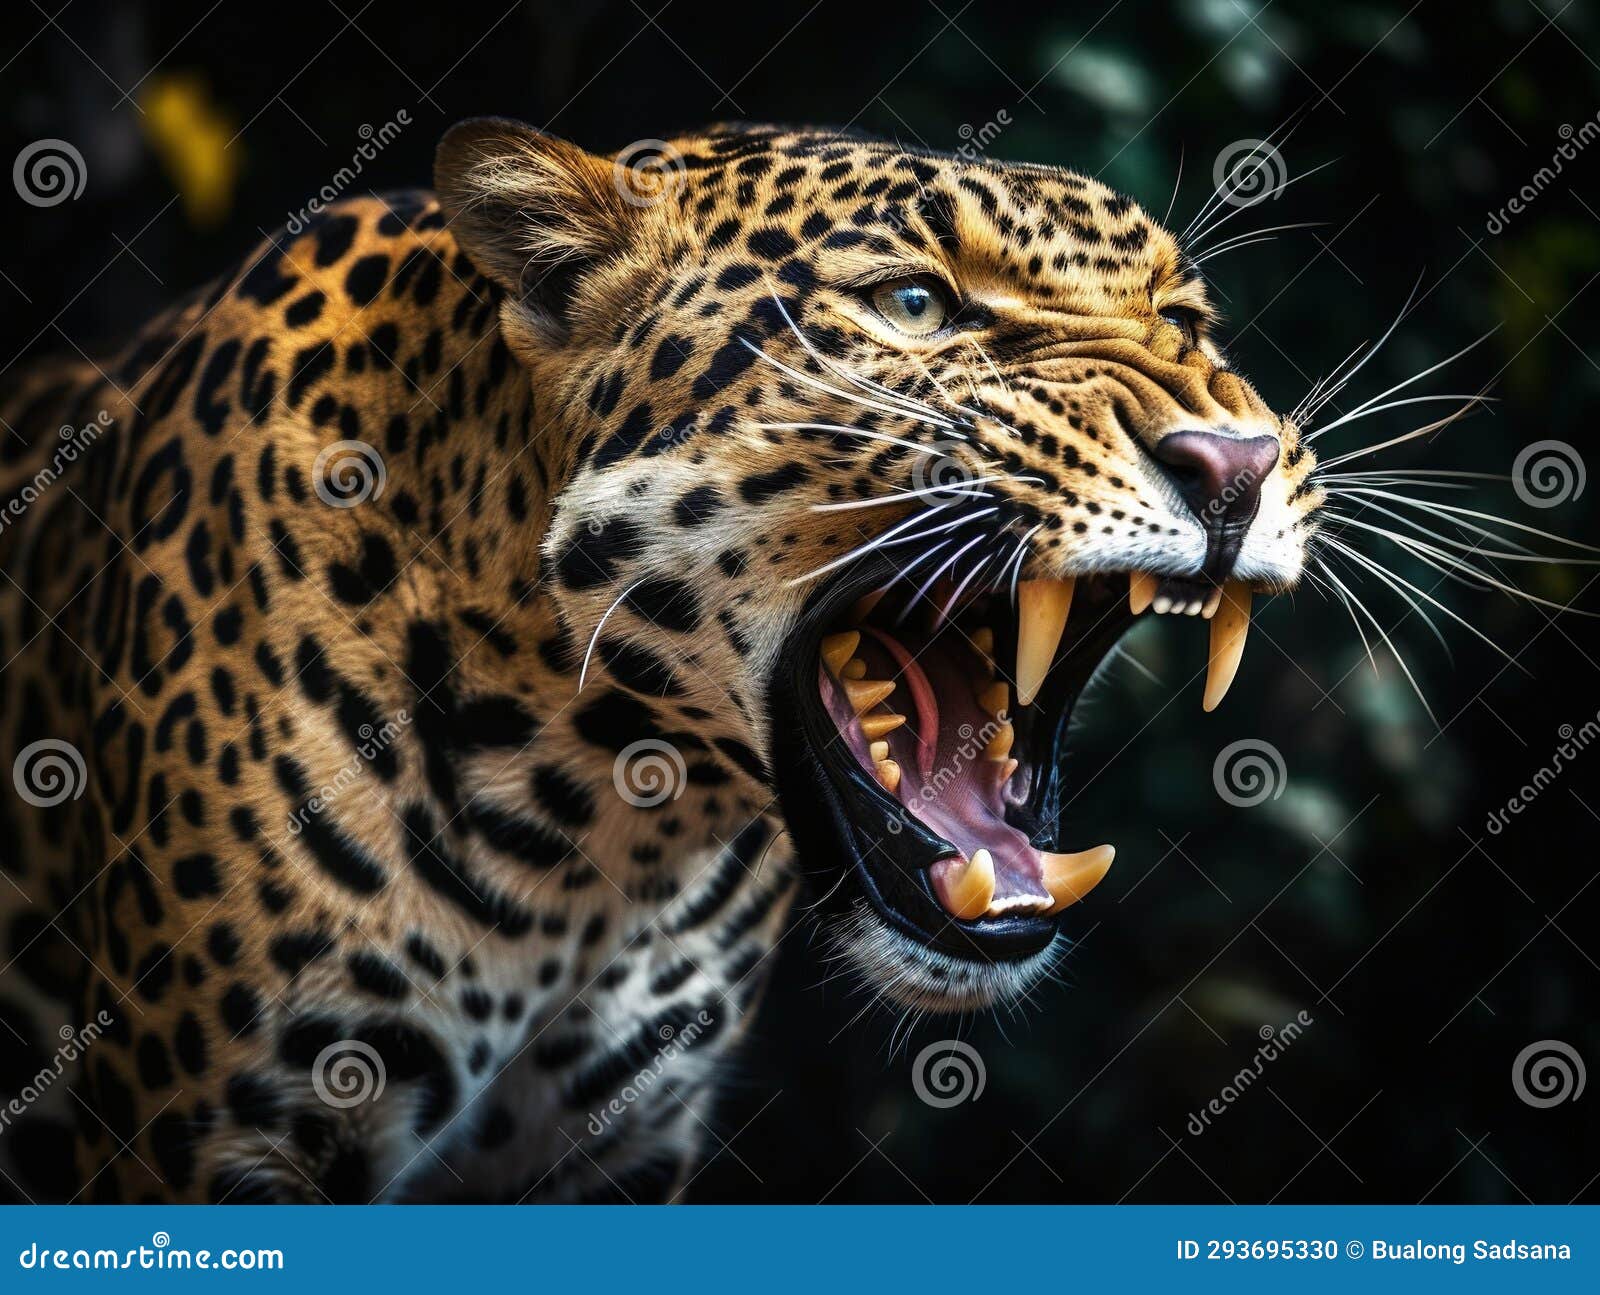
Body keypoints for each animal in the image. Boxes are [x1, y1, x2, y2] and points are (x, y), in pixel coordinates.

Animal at [0, 116, 1328, 1204]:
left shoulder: (611, 1149)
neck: (590, 837)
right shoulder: (225, 1140)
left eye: (1187, 325)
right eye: (912, 304)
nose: (1233, 465)